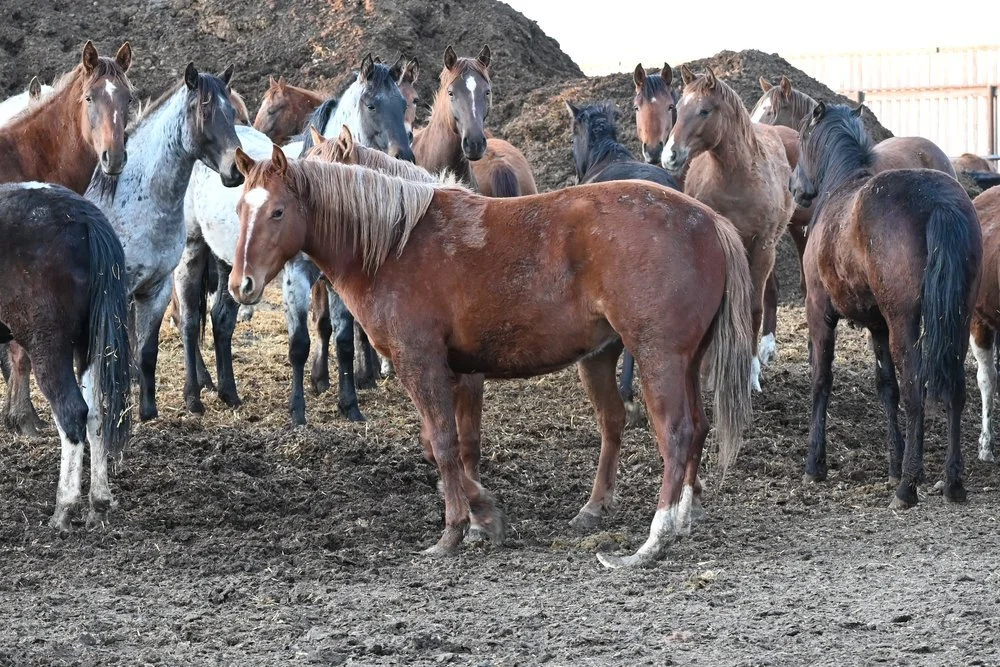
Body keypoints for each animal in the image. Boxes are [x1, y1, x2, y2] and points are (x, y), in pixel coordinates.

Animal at [0, 183, 131, 531]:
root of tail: (83, 217)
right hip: (87, 345)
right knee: (96, 414)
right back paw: (98, 503)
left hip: (49, 345)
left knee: (72, 412)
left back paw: (65, 507)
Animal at [85, 63, 243, 423]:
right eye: (204, 112)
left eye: (232, 112)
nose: (235, 171)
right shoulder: (119, 290)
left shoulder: (155, 289)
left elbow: (146, 351)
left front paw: (147, 410)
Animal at [227, 145, 754, 568]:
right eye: (239, 209)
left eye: (277, 212)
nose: (240, 285)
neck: (398, 243)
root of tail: (709, 221)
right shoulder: (458, 372)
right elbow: (452, 446)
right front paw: (483, 517)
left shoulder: (420, 364)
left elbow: (442, 445)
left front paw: (455, 531)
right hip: (678, 361)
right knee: (689, 427)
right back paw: (672, 518)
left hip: (658, 357)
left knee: (676, 433)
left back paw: (653, 539)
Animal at [662, 66, 794, 393]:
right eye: (677, 107)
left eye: (704, 110)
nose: (669, 155)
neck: (738, 179)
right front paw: (708, 372)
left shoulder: (762, 246)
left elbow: (754, 308)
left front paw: (751, 374)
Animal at [791, 102, 981, 507]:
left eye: (801, 135)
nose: (794, 187)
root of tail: (938, 201)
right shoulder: (877, 325)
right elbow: (886, 387)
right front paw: (893, 461)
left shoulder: (819, 312)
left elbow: (821, 380)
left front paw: (815, 465)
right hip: (957, 320)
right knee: (954, 391)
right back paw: (951, 482)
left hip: (904, 323)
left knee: (915, 392)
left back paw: (907, 487)